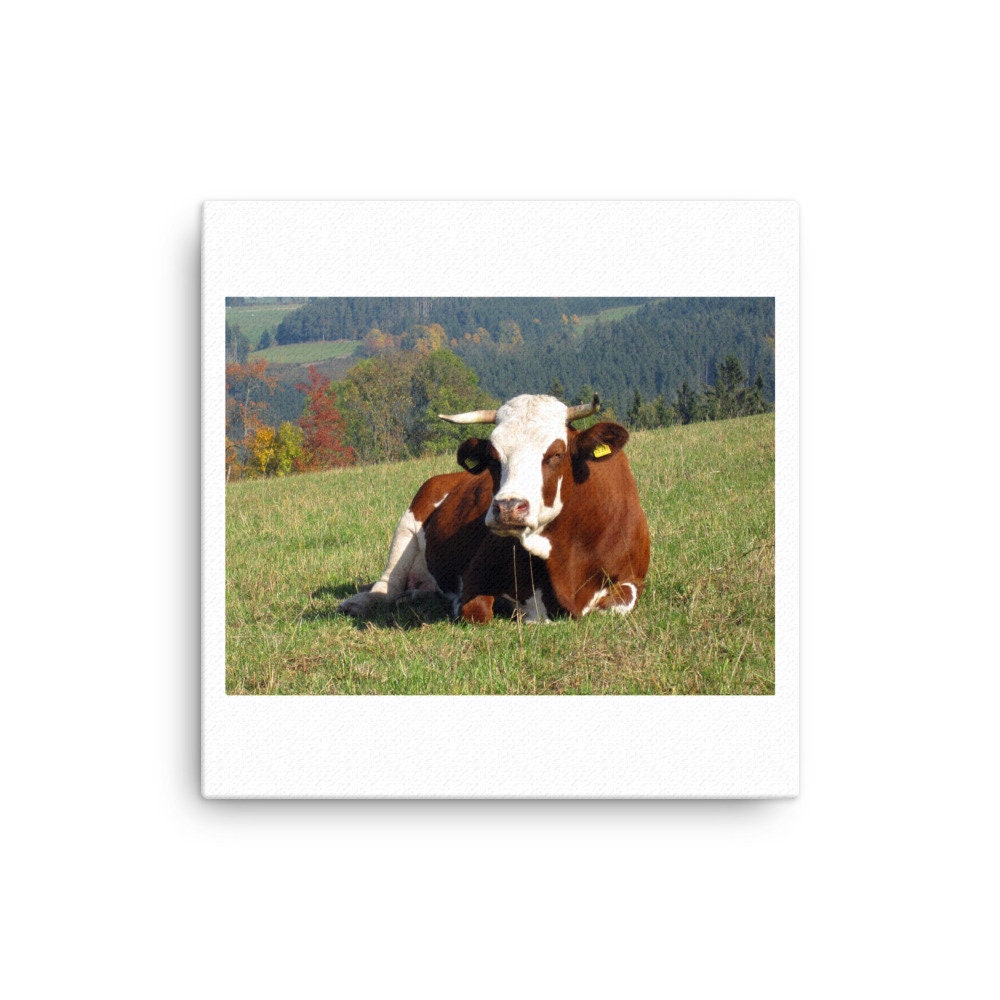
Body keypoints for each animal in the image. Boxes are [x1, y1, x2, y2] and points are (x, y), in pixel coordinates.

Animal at [337, 393, 650, 623]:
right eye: (492, 457)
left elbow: (615, 606)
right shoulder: (475, 575)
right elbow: (475, 610)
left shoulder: (633, 579)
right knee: (386, 585)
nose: (508, 507)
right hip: (408, 522)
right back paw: (358, 602)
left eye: (556, 454)